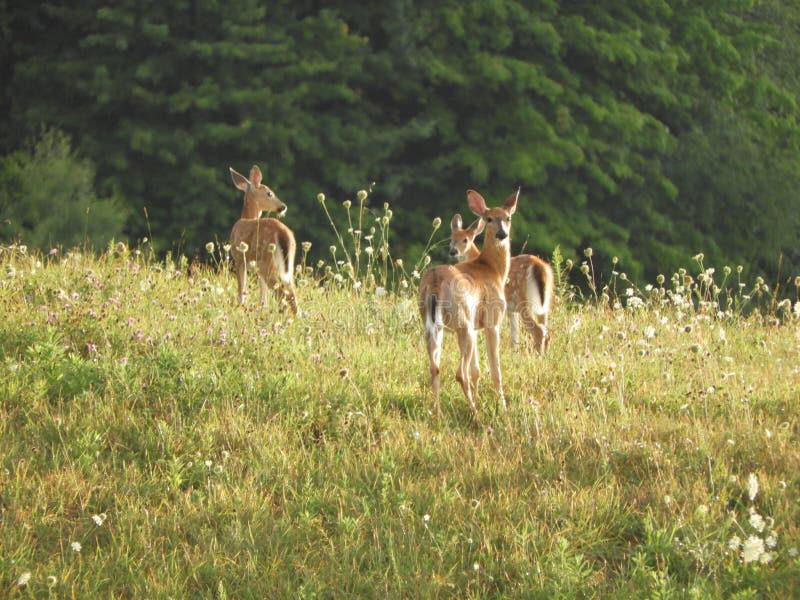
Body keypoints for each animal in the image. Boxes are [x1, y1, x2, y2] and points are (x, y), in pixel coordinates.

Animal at [229, 165, 298, 314]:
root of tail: (282, 232)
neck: (247, 218)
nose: (283, 207)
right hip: (287, 263)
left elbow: (241, 288)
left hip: (266, 260)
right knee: (291, 292)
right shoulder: (256, 269)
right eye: (269, 193)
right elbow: (263, 294)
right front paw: (262, 308)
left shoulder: (239, 259)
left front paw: (241, 306)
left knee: (282, 293)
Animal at [419, 189, 518, 418]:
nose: (502, 234)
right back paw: (475, 414)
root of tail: (435, 282)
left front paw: (482, 399)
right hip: (463, 323)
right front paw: (503, 407)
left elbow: (477, 371)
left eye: (508, 218)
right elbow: (494, 370)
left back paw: (437, 412)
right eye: (489, 218)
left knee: (435, 367)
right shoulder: (492, 321)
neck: (492, 269)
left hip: (435, 325)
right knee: (459, 373)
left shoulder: (476, 326)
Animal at [449, 213, 554, 353]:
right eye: (451, 238)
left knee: (538, 331)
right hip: (544, 303)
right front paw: (514, 354)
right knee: (546, 332)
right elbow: (514, 338)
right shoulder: (511, 310)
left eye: (465, 240)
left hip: (523, 301)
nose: (453, 251)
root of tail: (539, 267)